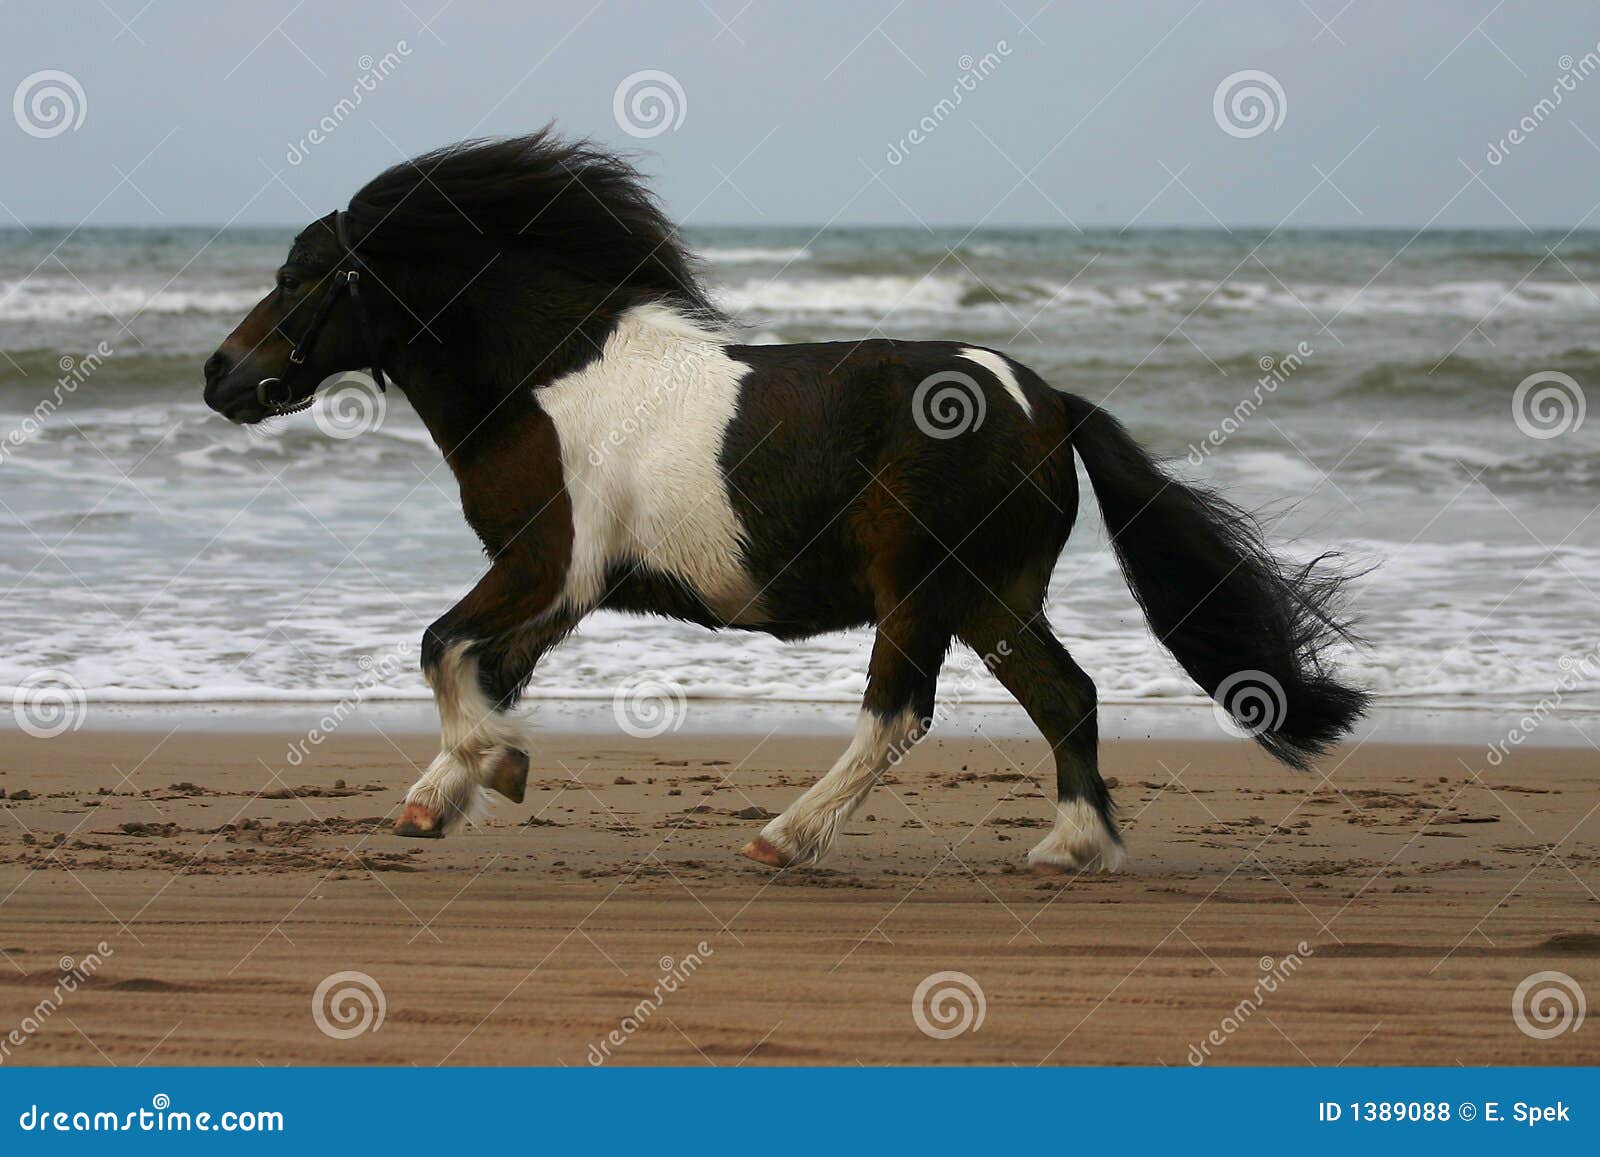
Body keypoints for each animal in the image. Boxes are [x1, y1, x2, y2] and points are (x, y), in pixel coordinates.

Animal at [202, 129, 1367, 873]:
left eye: (302, 275)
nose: (219, 376)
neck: (545, 382)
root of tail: (1044, 404)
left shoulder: (547, 562)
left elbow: (442, 646)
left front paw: (501, 768)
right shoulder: (563, 589)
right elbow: (485, 667)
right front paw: (441, 798)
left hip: (922, 585)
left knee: (898, 711)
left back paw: (784, 837)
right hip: (994, 595)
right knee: (1066, 695)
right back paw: (1072, 845)